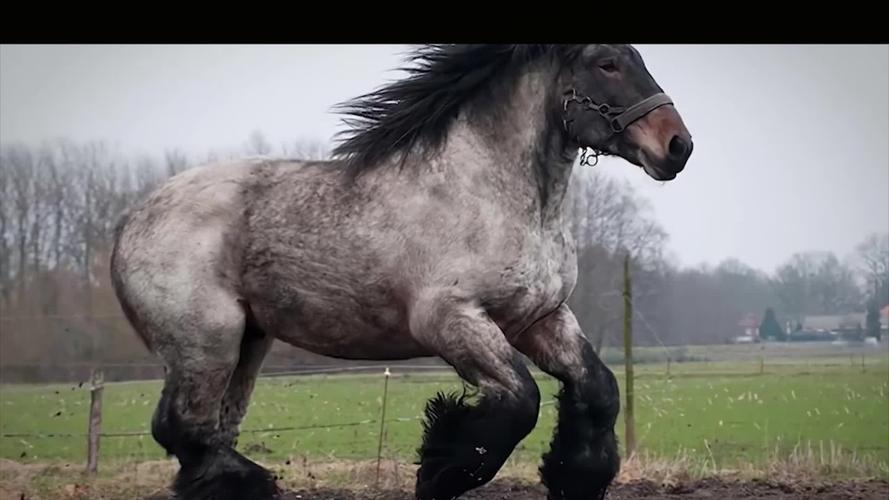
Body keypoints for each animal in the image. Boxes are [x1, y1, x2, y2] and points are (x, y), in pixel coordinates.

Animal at [110, 44, 693, 500]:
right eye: (607, 63)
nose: (678, 146)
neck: (489, 193)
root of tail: (132, 220)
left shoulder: (539, 317)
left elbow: (598, 388)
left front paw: (575, 477)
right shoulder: (450, 320)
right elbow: (519, 401)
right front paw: (439, 472)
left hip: (248, 342)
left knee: (211, 432)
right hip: (206, 341)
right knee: (183, 429)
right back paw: (254, 481)